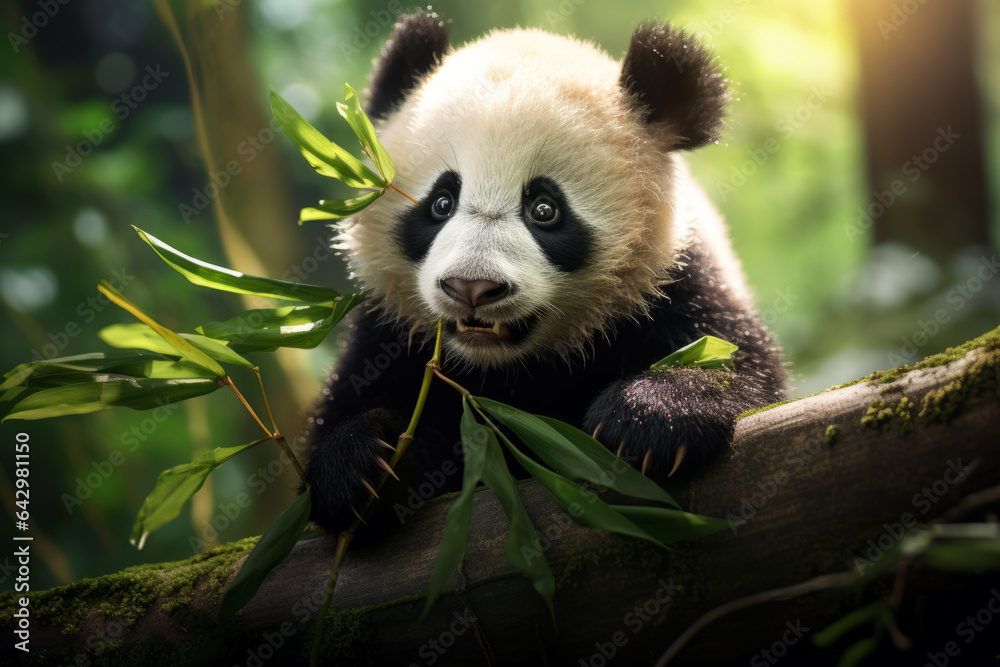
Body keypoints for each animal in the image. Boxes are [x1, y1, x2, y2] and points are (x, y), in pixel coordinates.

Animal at [304, 12, 785, 535]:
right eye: (441, 202)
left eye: (544, 209)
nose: (472, 287)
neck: (507, 368)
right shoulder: (389, 332)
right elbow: (347, 417)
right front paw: (359, 465)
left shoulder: (680, 286)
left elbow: (743, 371)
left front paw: (648, 418)